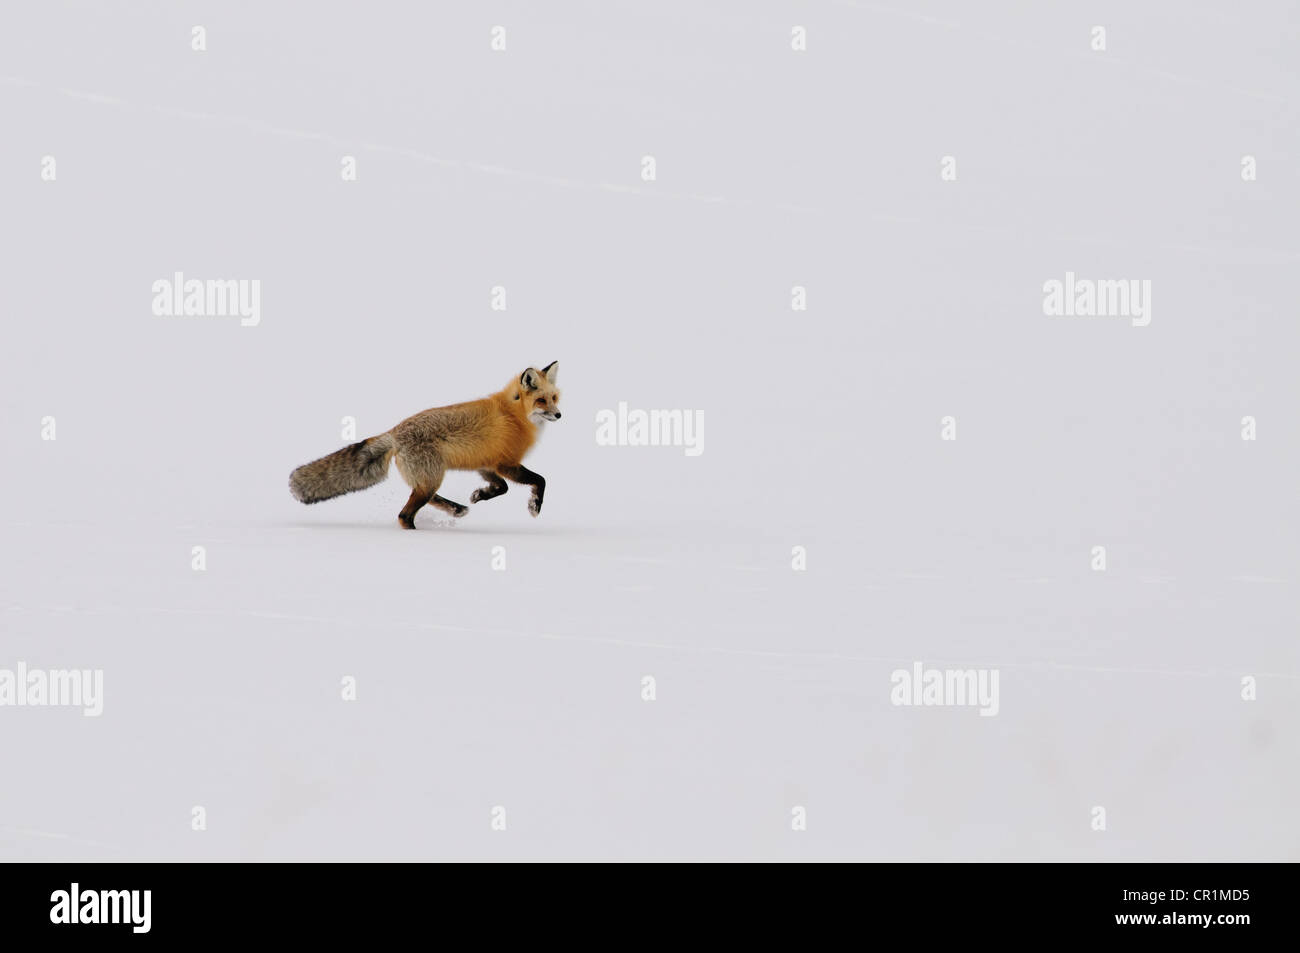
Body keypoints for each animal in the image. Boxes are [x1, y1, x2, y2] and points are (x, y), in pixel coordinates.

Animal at [289, 362, 561, 529]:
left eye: (555, 398)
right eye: (541, 400)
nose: (559, 415)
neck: (514, 416)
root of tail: (395, 431)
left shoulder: (485, 464)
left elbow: (501, 488)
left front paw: (480, 494)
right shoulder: (507, 463)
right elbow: (540, 480)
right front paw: (535, 506)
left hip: (428, 478)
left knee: (425, 498)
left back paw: (456, 509)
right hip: (431, 477)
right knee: (404, 514)